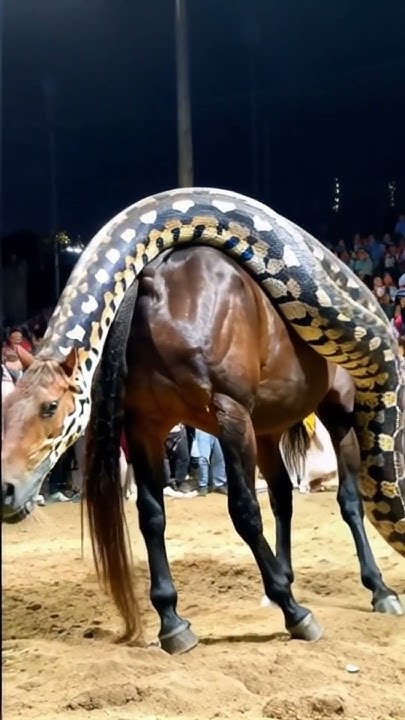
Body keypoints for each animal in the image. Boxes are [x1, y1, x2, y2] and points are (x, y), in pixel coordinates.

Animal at [2, 188, 405, 655]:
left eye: (49, 407)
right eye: (6, 407)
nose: (5, 489)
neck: (162, 304)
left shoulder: (231, 415)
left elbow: (244, 511)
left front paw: (295, 611)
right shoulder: (145, 426)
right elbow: (151, 514)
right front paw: (172, 620)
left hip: (339, 414)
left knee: (350, 500)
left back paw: (378, 588)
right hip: (266, 427)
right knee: (283, 497)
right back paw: (284, 579)